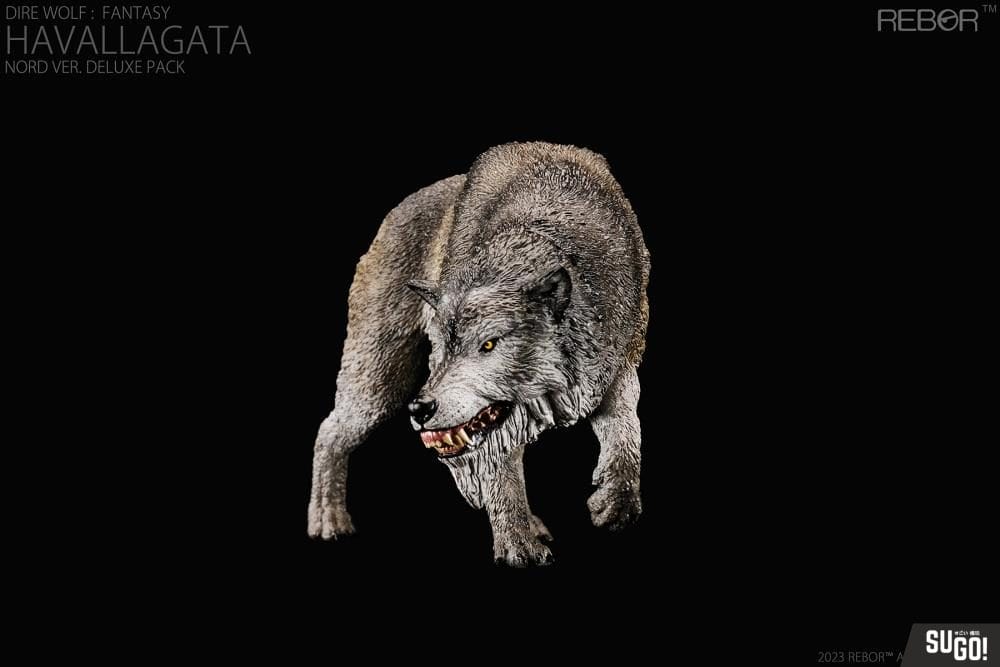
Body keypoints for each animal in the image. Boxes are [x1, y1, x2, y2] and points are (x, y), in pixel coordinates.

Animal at [308, 142, 650, 566]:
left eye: (488, 345)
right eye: (443, 349)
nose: (420, 409)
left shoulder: (618, 366)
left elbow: (627, 432)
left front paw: (616, 503)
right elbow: (501, 473)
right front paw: (518, 547)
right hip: (376, 384)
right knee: (329, 432)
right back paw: (327, 519)